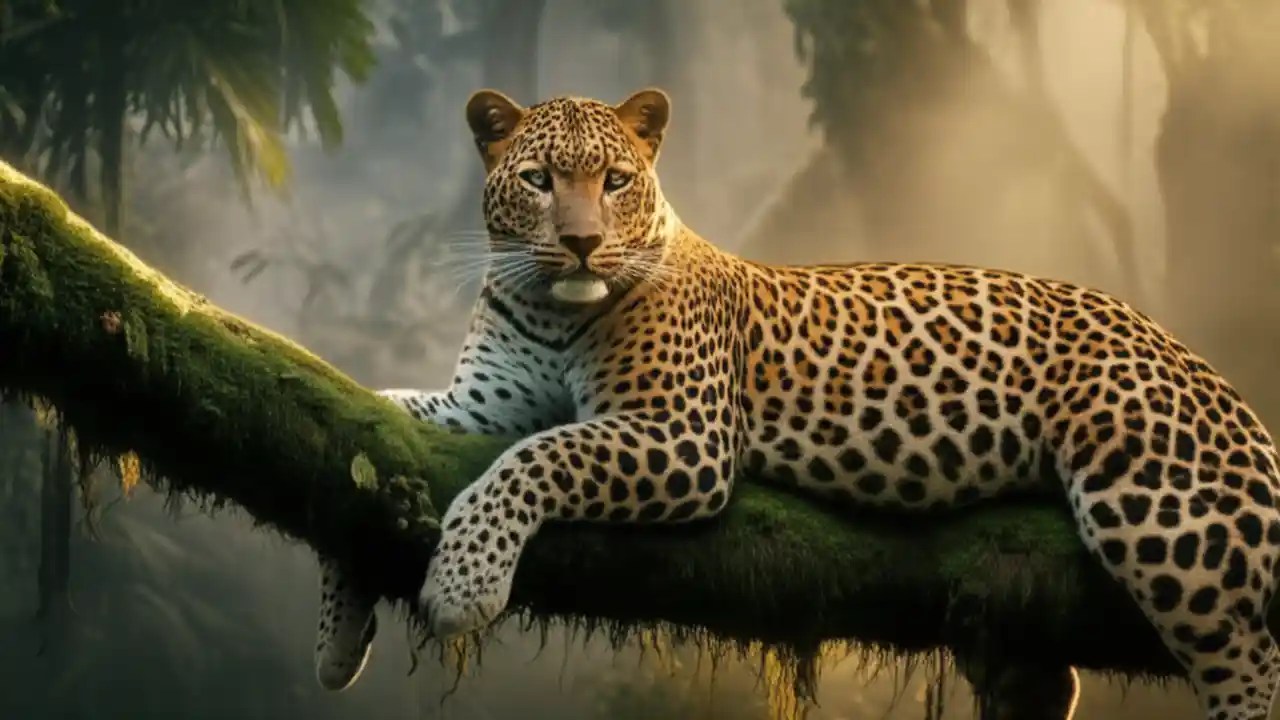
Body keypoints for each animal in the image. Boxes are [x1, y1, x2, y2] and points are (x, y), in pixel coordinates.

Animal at [309, 86, 1280, 720]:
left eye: (616, 181)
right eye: (541, 180)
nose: (582, 243)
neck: (552, 309)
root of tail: (1210, 373)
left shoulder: (684, 436)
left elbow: (535, 458)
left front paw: (463, 584)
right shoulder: (477, 408)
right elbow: (372, 418)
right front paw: (337, 628)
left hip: (1162, 515)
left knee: (1250, 658)